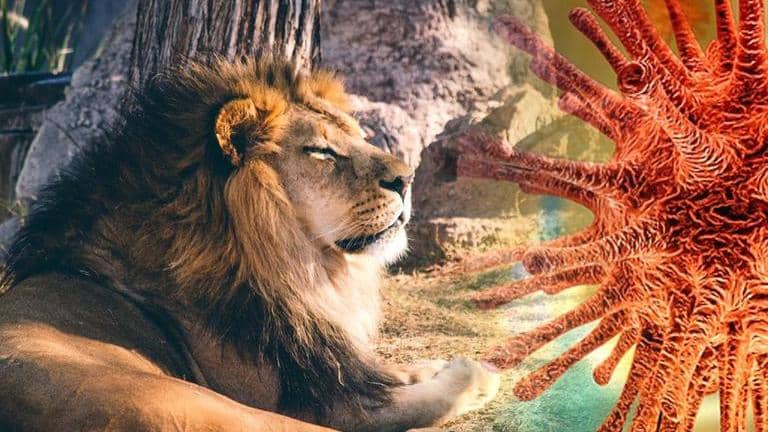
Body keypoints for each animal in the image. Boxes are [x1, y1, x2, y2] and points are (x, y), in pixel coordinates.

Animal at [0, 59, 499, 432]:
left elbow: (384, 373)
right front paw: (470, 372)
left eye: (359, 137)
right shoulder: (313, 401)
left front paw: (430, 364)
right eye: (322, 152)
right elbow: (413, 399)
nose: (407, 178)